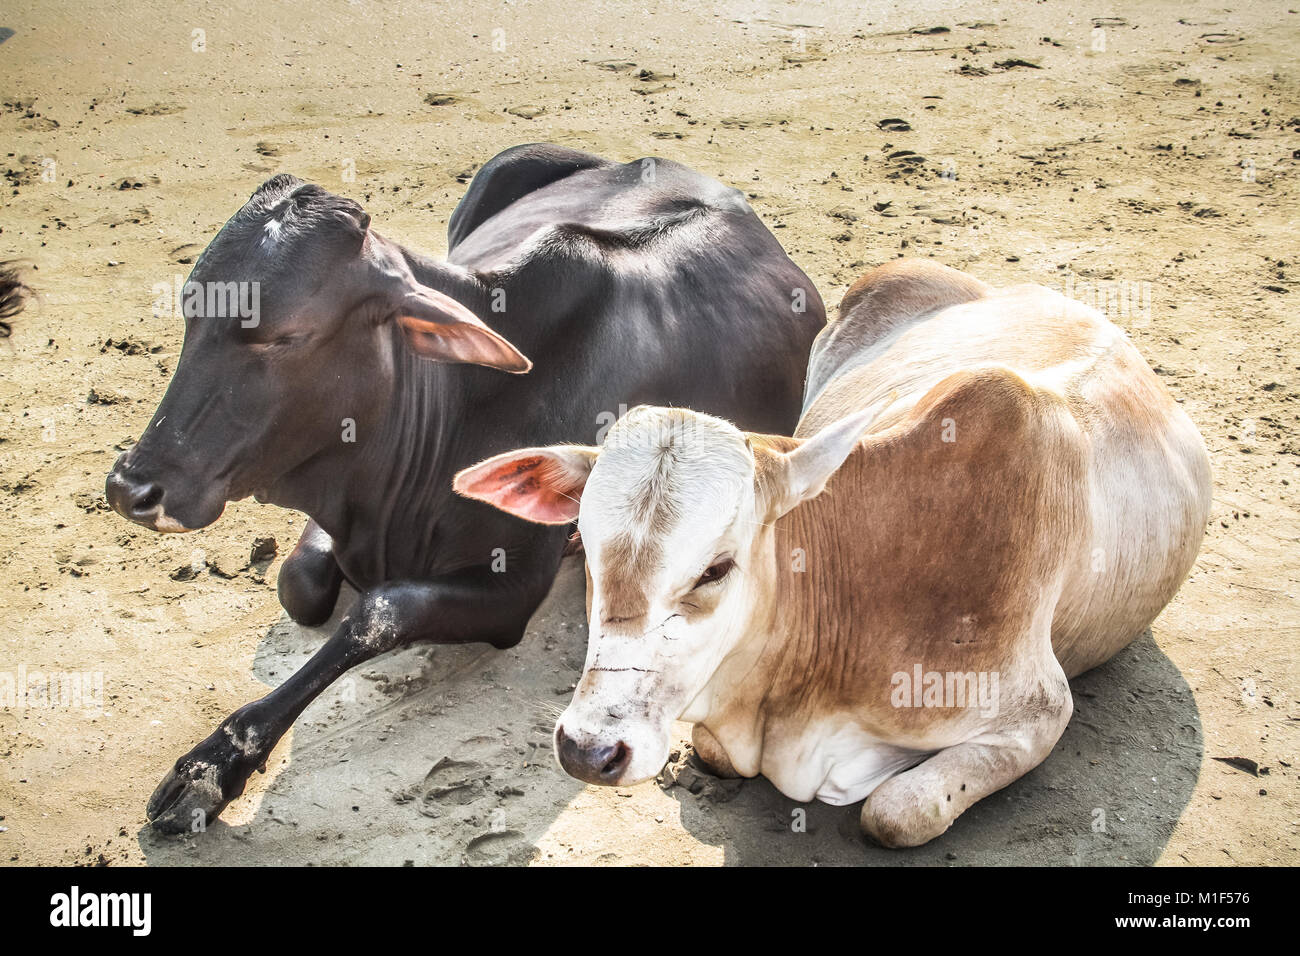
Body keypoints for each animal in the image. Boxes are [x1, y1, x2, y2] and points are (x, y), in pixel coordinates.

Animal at [105, 144, 826, 833]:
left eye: (286, 335)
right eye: (190, 311)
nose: (130, 487)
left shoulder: (514, 588)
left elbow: (380, 610)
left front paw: (211, 767)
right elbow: (301, 584)